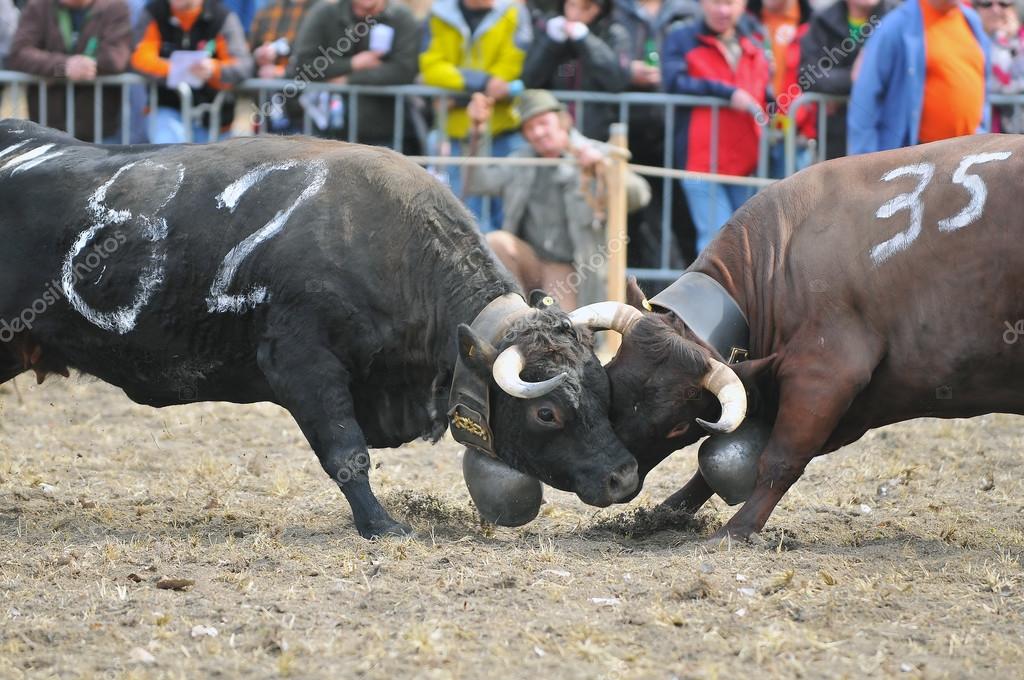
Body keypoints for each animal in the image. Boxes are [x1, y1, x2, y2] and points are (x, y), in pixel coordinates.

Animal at [0, 119, 641, 539]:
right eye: (547, 412)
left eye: (603, 390)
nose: (625, 476)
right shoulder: (302, 365)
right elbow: (346, 451)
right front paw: (381, 524)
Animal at [573, 134, 1024, 541]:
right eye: (613, 388)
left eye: (678, 425)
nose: (617, 479)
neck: (782, 260)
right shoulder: (854, 403)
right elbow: (718, 467)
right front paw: (665, 513)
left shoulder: (825, 375)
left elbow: (781, 458)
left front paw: (736, 530)